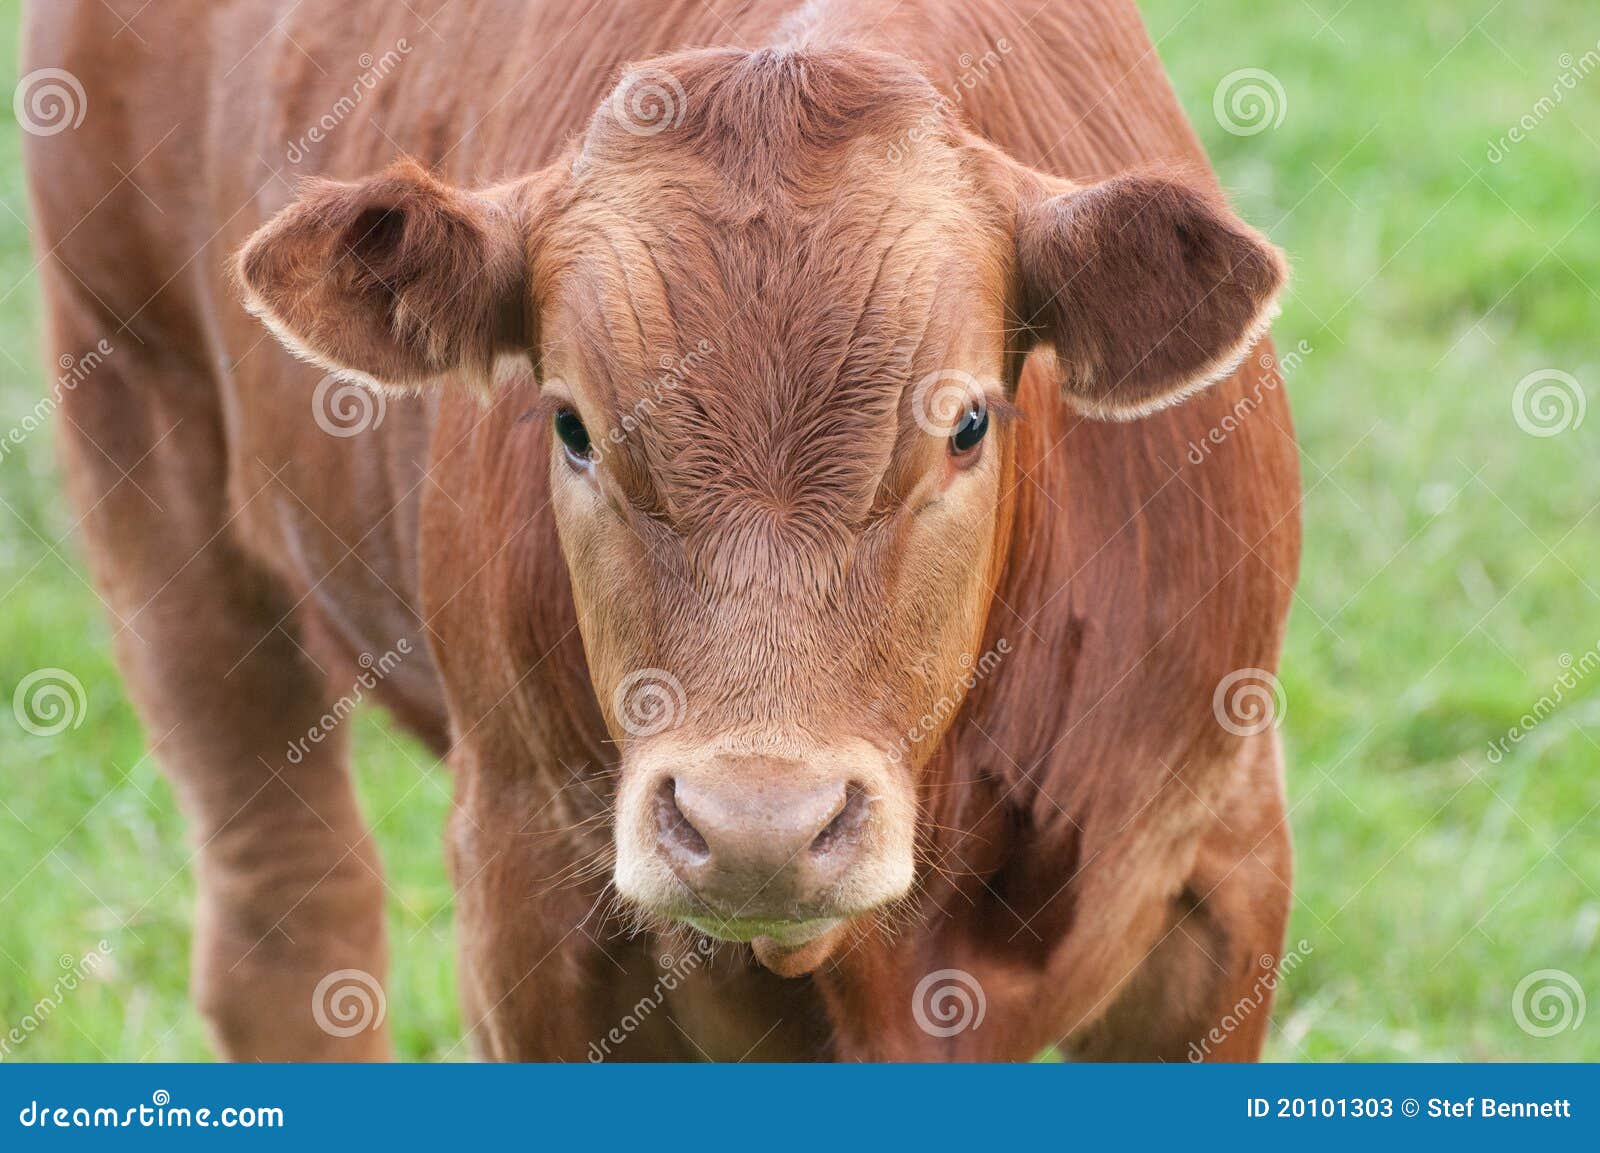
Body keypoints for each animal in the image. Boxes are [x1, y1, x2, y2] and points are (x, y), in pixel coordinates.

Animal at [23, 0, 1299, 1061]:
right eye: (573, 425)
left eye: (968, 423)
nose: (756, 829)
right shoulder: (524, 901)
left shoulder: (1223, 873)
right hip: (137, 417)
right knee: (286, 927)